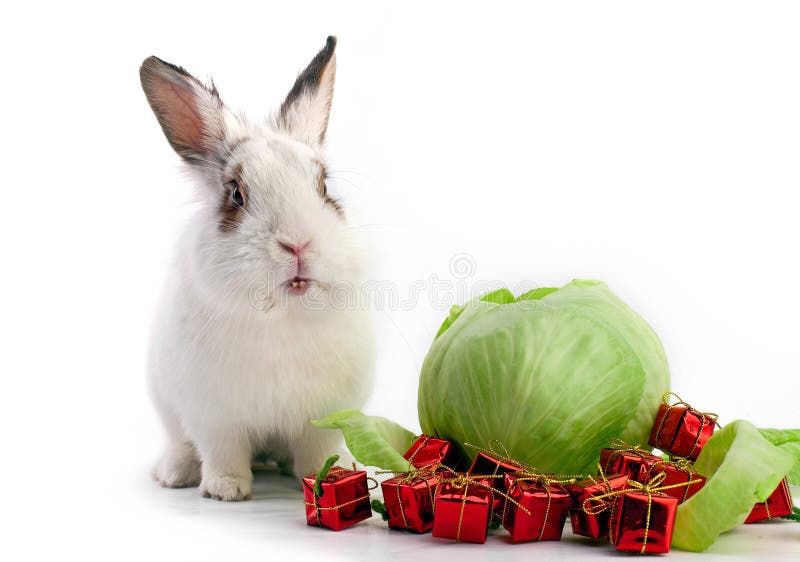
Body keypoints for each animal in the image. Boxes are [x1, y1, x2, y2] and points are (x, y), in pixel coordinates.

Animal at [139, 36, 375, 501]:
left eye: (324, 187)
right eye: (236, 194)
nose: (298, 242)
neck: (283, 315)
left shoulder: (321, 417)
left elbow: (317, 449)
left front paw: (326, 475)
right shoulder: (215, 418)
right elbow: (223, 452)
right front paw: (225, 490)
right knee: (180, 444)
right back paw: (175, 474)